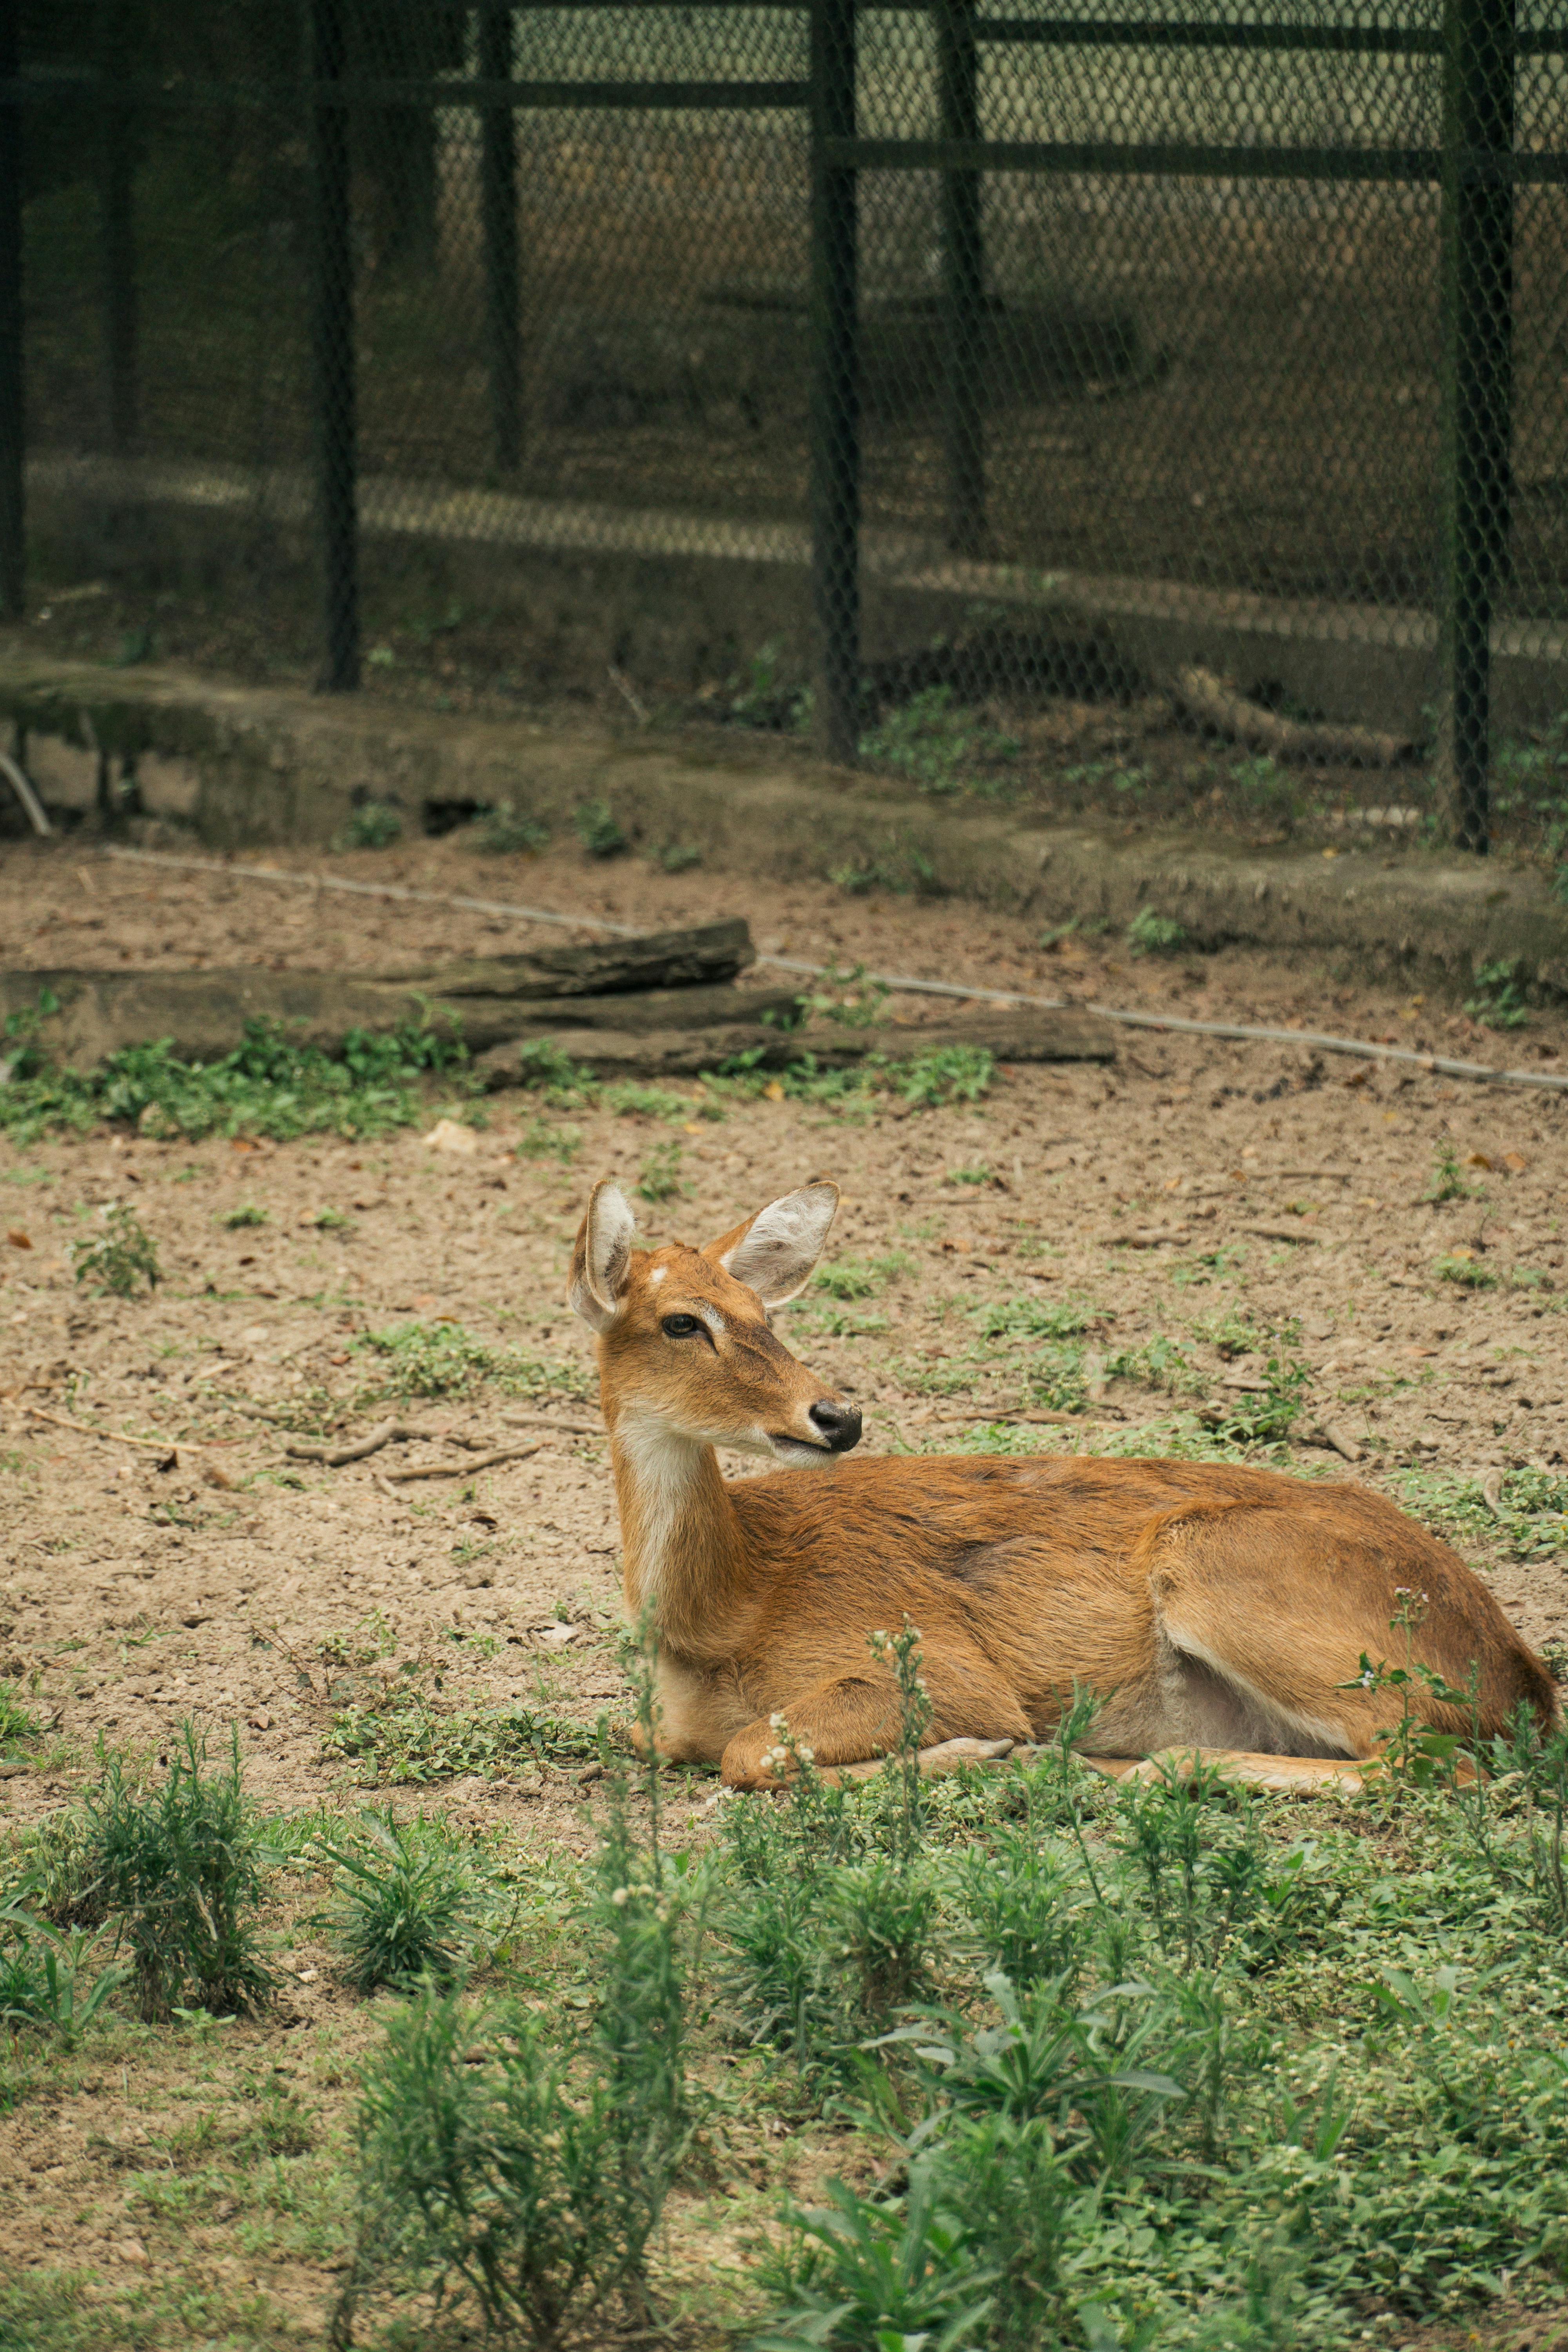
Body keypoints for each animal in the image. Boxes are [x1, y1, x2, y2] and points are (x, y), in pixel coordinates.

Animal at [568, 1175, 1557, 1791]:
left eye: (762, 1315)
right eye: (681, 1321)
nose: (835, 1416)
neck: (722, 1618)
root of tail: (1519, 1683)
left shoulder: (925, 1658)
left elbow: (748, 1754)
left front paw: (981, 1750)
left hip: (1222, 1567)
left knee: (1430, 1762)